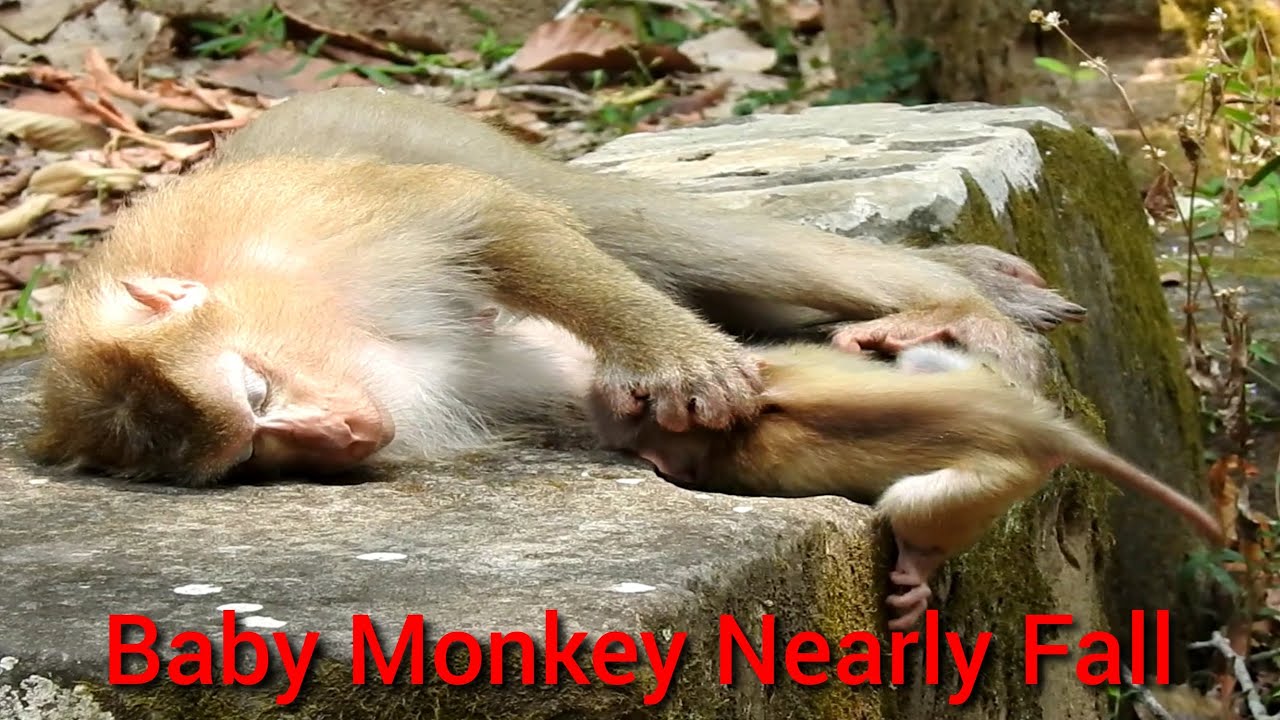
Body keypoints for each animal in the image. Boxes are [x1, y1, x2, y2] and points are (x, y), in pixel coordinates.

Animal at [28, 86, 1085, 484]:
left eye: (255, 393)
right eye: (255, 451)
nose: (345, 437)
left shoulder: (316, 228)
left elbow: (487, 223)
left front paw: (678, 365)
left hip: (423, 129)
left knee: (612, 222)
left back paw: (961, 298)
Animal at [585, 342, 1225, 630]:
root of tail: (1034, 423)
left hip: (995, 474)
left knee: (911, 505)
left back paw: (916, 571)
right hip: (964, 377)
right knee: (922, 356)